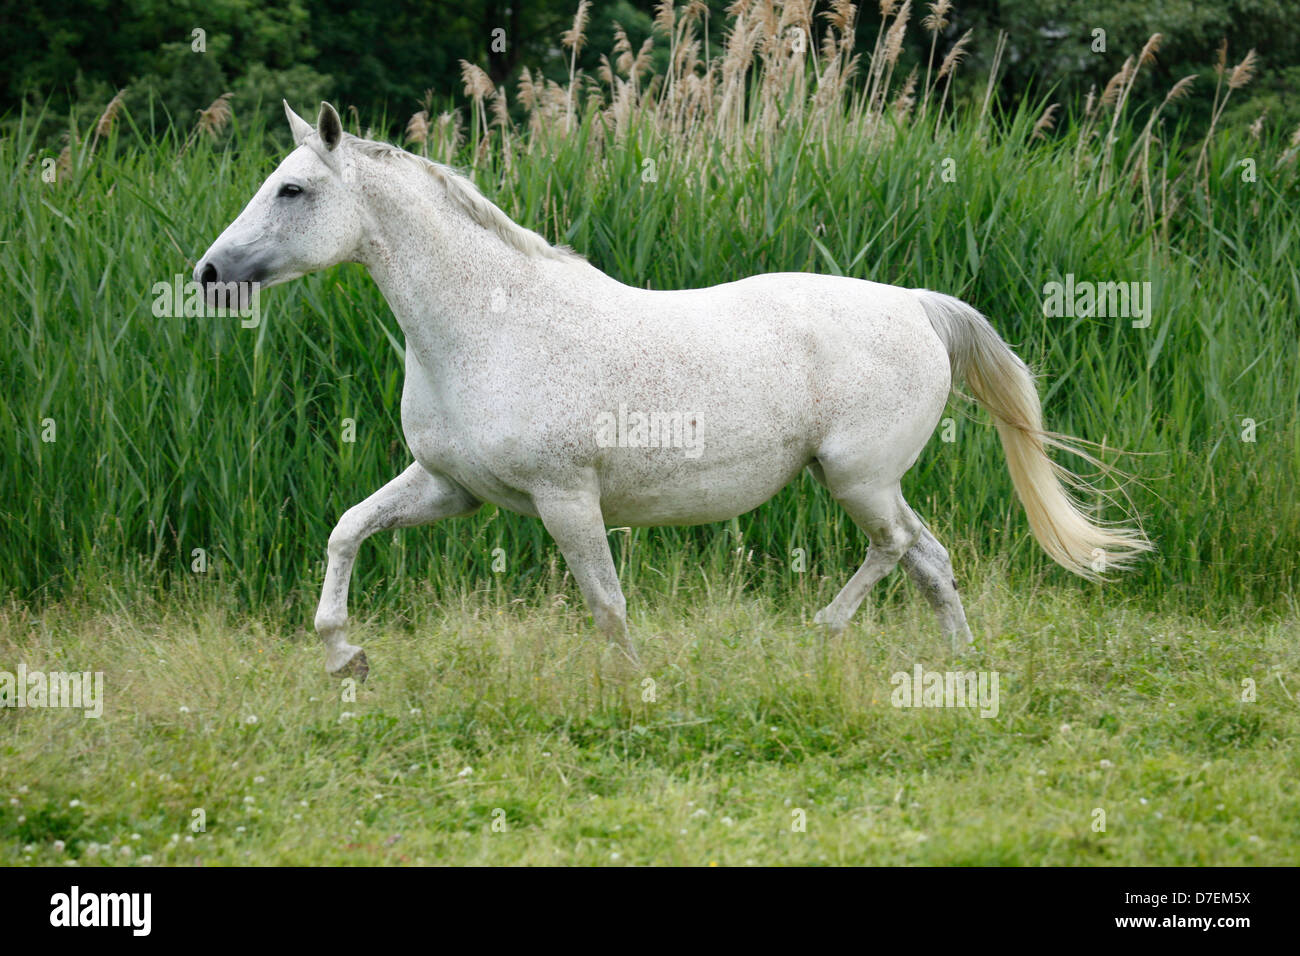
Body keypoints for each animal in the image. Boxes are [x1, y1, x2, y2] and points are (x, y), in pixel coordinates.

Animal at [195, 101, 1151, 679]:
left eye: (293, 188)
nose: (208, 274)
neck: (491, 326)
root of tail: (917, 304)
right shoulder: (449, 488)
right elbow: (347, 529)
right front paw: (343, 657)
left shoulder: (566, 498)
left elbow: (607, 605)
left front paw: (632, 690)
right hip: (864, 480)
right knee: (930, 558)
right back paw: (958, 668)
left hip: (857, 477)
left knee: (897, 547)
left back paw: (827, 630)